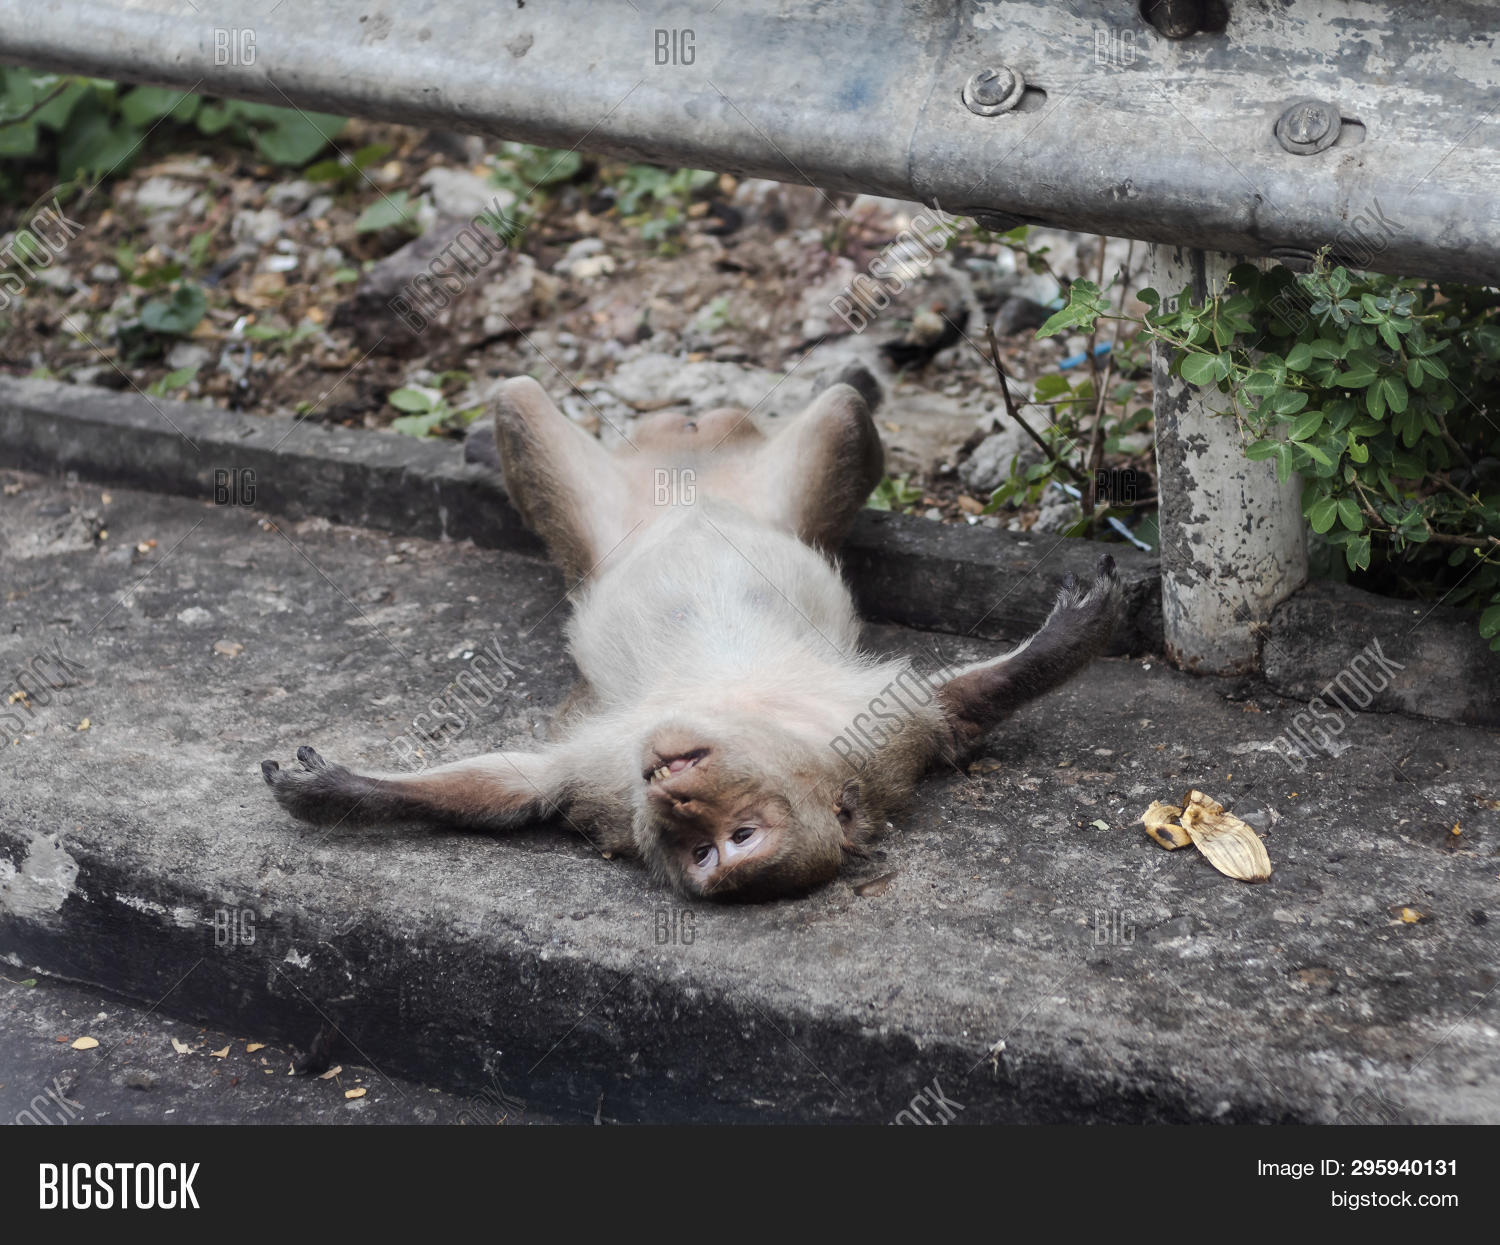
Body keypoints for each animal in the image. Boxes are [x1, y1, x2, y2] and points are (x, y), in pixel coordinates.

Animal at [262, 369, 1121, 901]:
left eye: (723, 844)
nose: (671, 791)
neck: (744, 713)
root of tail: (695, 456)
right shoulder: (853, 727)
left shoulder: (626, 786)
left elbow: (532, 785)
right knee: (525, 398)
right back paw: (483, 443)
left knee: (840, 414)